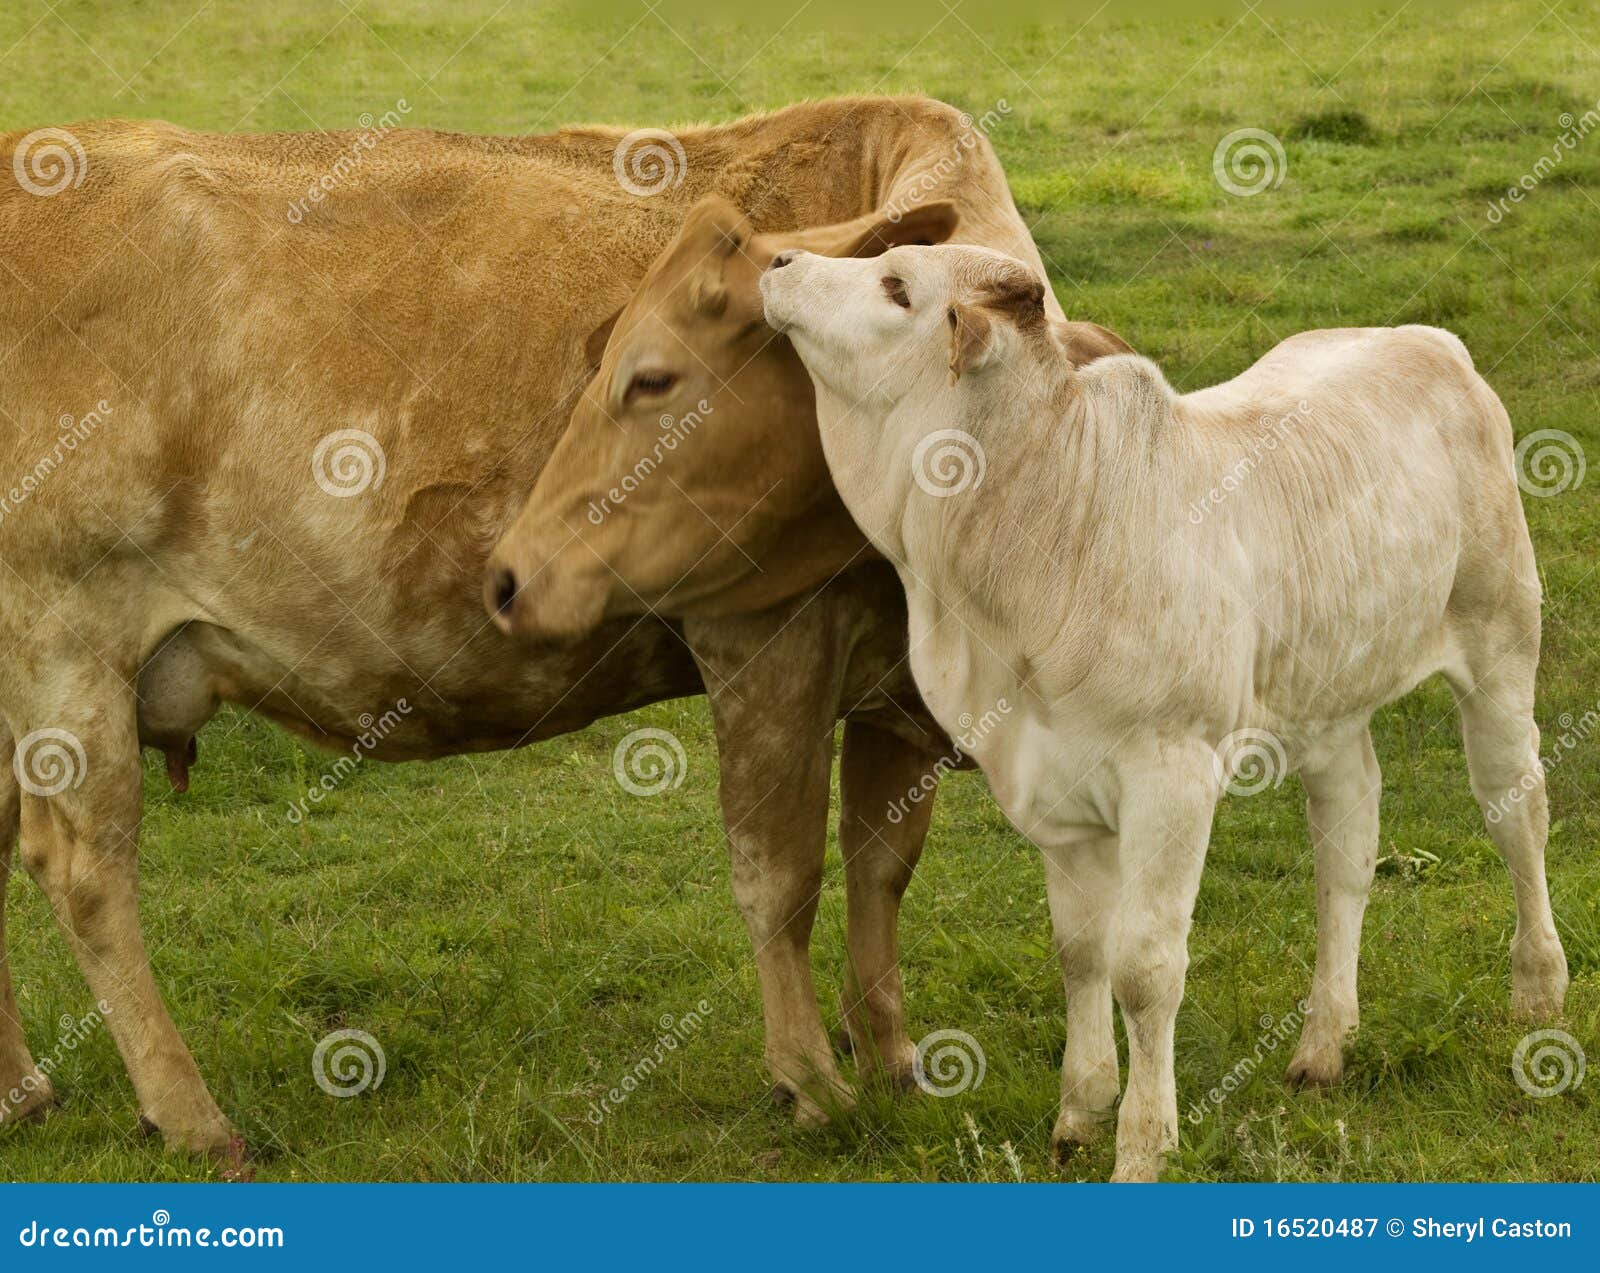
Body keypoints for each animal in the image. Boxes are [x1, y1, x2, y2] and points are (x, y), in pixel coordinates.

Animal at [0, 97, 1058, 1158]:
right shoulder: (763, 632)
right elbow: (781, 869)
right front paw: (809, 1080)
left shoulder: (899, 676)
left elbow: (883, 861)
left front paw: (894, 1060)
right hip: (64, 636)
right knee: (83, 867)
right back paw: (190, 1116)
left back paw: (22, 1091)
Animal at [756, 241, 1569, 1179]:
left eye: (896, 287)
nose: (779, 257)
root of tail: (1426, 338)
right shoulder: (1051, 786)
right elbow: (1081, 952)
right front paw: (1079, 1112)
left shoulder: (1171, 771)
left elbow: (1144, 968)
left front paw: (1143, 1141)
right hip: (1327, 695)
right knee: (1347, 847)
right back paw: (1324, 1043)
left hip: (1500, 637)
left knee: (1516, 809)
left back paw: (1538, 991)